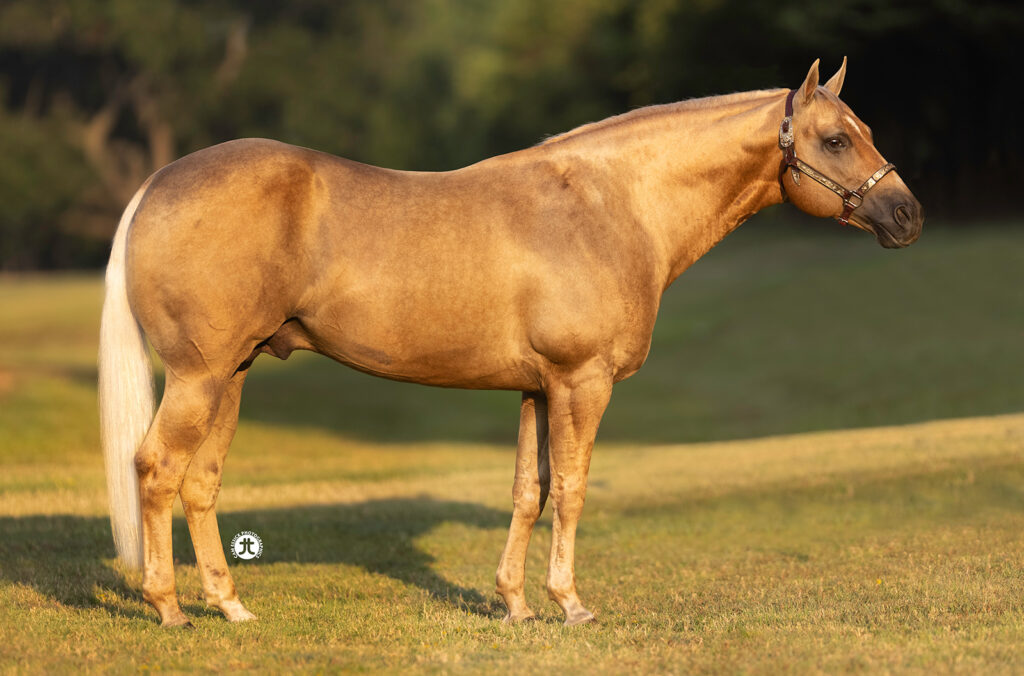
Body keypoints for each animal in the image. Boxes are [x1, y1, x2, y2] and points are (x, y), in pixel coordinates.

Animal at [99, 58, 923, 628]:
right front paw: (570, 604)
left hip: (232, 375)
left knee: (200, 482)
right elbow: (574, 489)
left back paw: (230, 606)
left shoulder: (536, 387)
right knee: (157, 469)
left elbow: (531, 490)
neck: (609, 205)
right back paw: (168, 607)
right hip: (199, 377)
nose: (907, 215)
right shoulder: (582, 382)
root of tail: (157, 184)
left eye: (864, 132)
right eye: (834, 138)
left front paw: (516, 604)